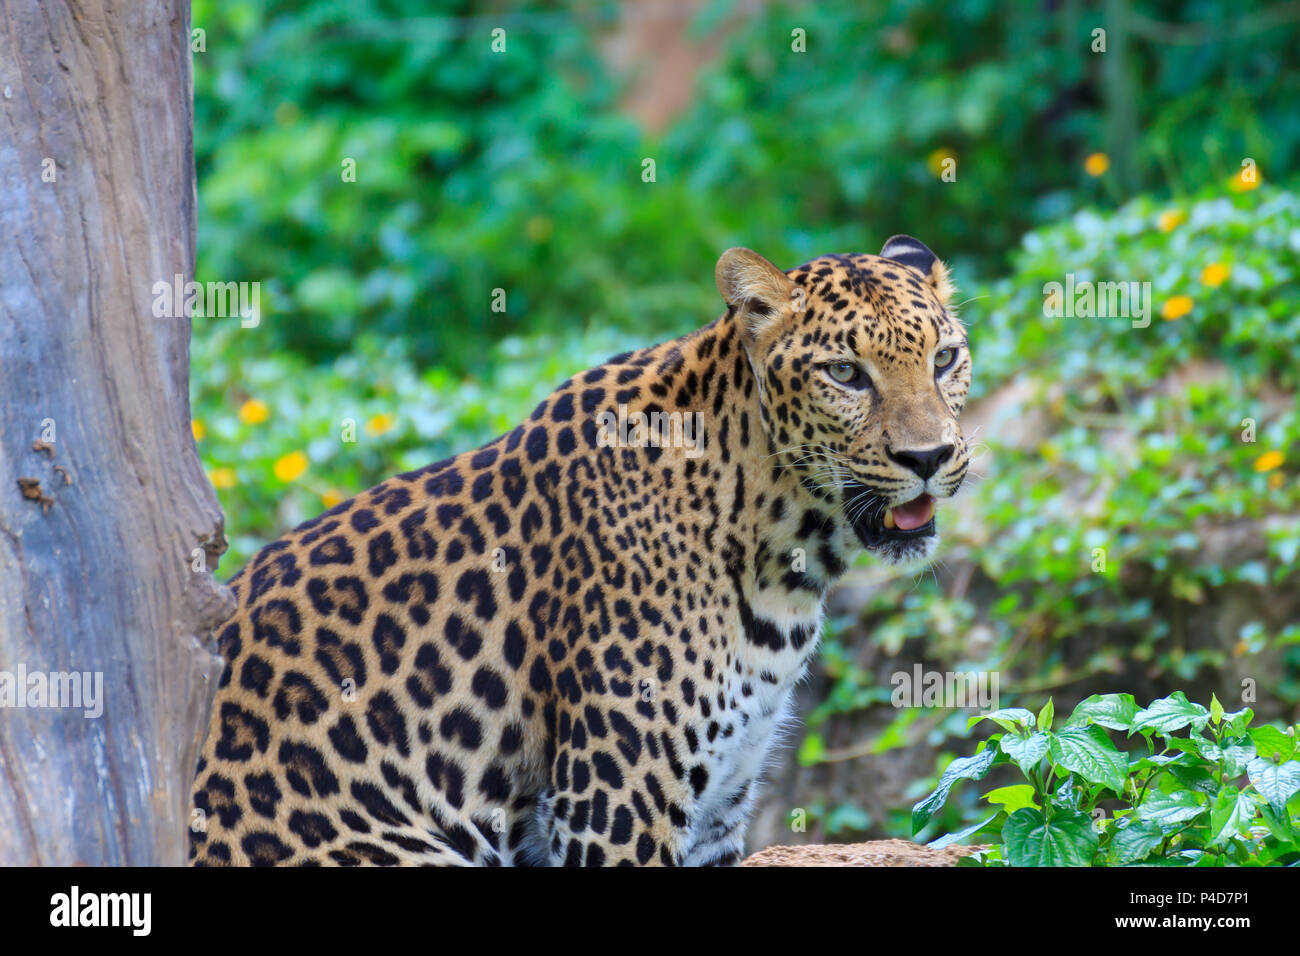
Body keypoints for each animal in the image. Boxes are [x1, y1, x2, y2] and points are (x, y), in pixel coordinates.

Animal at [188, 235, 971, 866]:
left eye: (945, 358)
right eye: (845, 374)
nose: (930, 456)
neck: (783, 545)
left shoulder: (719, 806)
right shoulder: (614, 806)